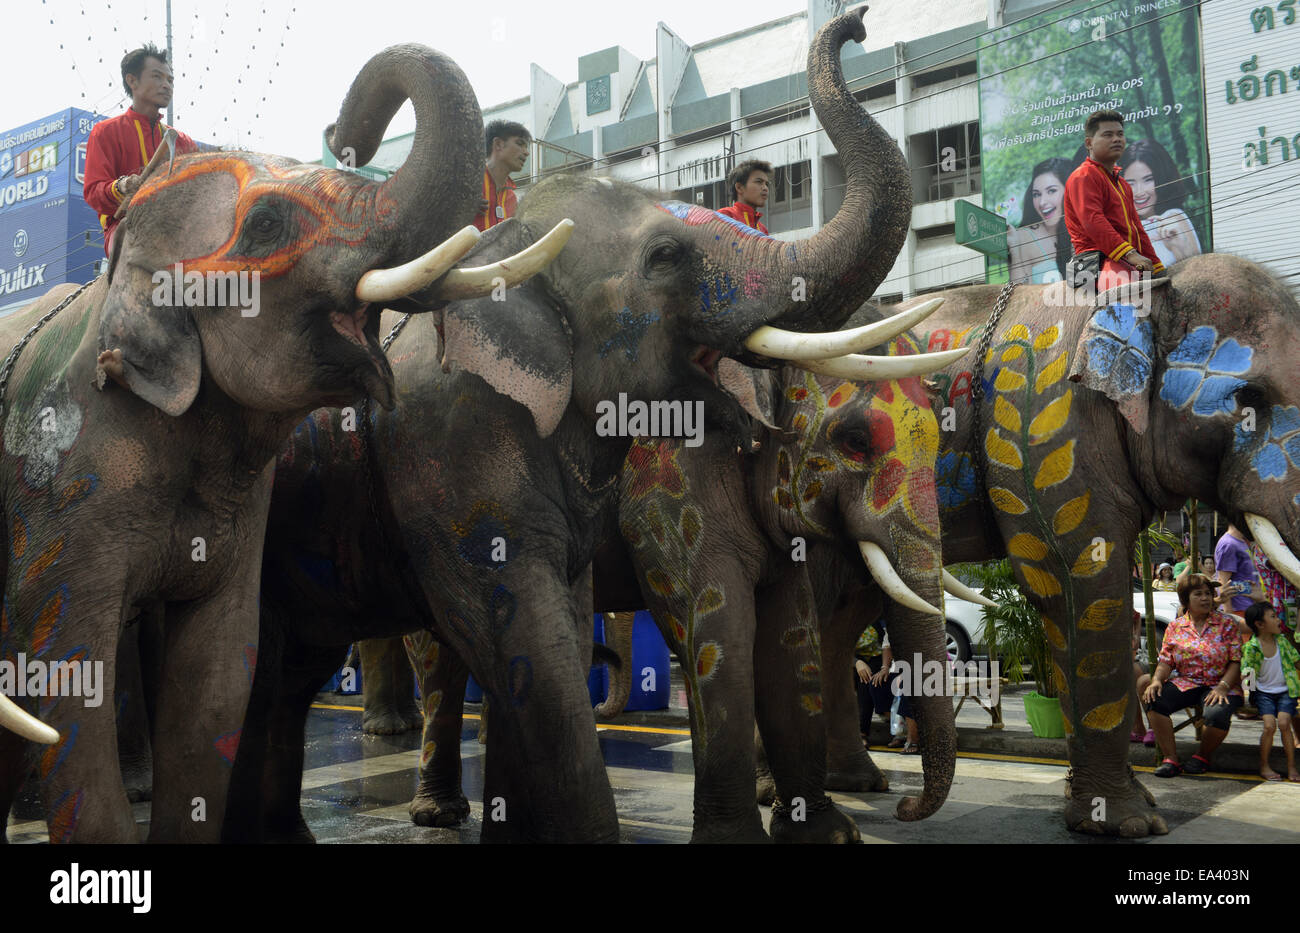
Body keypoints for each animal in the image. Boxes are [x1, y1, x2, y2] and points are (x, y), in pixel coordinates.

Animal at [227, 7, 931, 843]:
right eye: (664, 256)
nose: (857, 23)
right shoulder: (455, 446)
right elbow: (613, 627)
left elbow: (779, 640)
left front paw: (829, 832)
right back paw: (424, 803)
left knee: (287, 671)